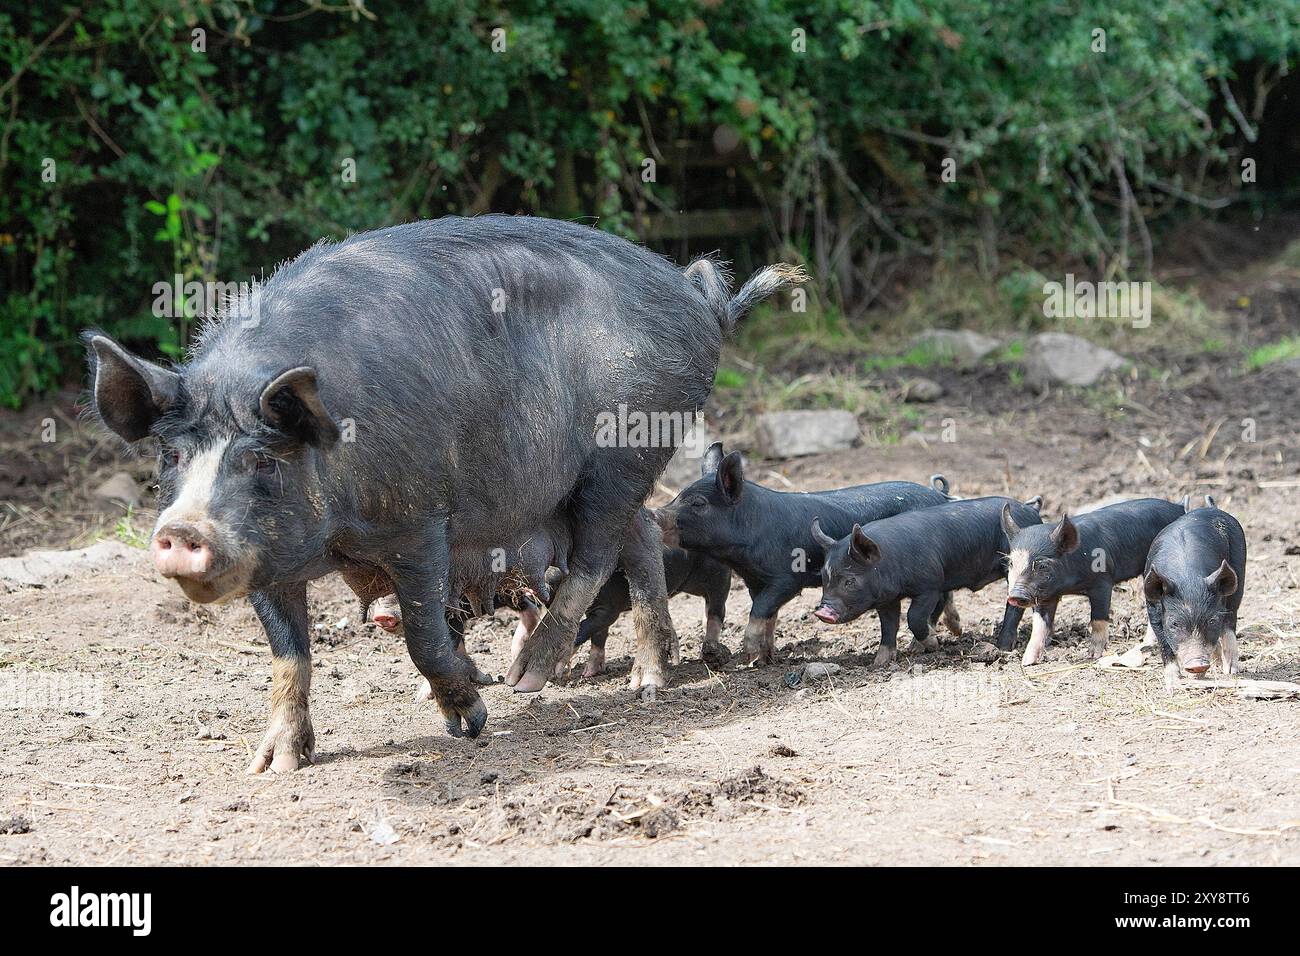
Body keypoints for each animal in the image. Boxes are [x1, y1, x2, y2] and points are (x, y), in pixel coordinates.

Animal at [84, 215, 803, 772]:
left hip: (623, 451)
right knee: (643, 535)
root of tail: (697, 296)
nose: (182, 531)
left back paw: (530, 680)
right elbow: (288, 654)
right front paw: (274, 766)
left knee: (596, 558)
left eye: (261, 459)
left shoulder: (420, 520)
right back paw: (644, 683)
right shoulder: (268, 561)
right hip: (591, 481)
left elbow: (425, 634)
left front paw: (473, 720)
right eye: (172, 455)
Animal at [654, 442, 953, 665]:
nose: (655, 514)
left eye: (698, 503)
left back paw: (918, 646)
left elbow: (760, 609)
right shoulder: (754, 580)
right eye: (678, 494)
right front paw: (763, 660)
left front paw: (748, 655)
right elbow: (768, 614)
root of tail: (938, 496)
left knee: (938, 597)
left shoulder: (787, 578)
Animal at [811, 496, 1044, 665]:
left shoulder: (929, 586)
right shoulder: (887, 599)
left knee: (1014, 605)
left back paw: (1003, 646)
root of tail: (1033, 512)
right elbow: (888, 625)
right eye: (823, 576)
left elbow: (913, 617)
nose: (822, 612)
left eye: (849, 581)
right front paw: (880, 662)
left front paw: (933, 643)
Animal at [1003, 497, 1186, 666]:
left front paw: (1093, 655)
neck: (1067, 586)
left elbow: (1098, 618)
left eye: (1042, 565)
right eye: (1011, 563)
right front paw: (1026, 662)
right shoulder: (1046, 595)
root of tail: (1179, 507)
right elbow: (1039, 625)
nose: (1015, 595)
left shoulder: (1103, 582)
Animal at [1143, 496, 1246, 687]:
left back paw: (1230, 670)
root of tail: (1212, 508)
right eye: (1174, 623)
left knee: (1230, 619)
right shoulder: (1153, 607)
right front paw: (1173, 682)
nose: (1197, 664)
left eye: (1212, 621)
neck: (1187, 579)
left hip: (1239, 574)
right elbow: (1164, 642)